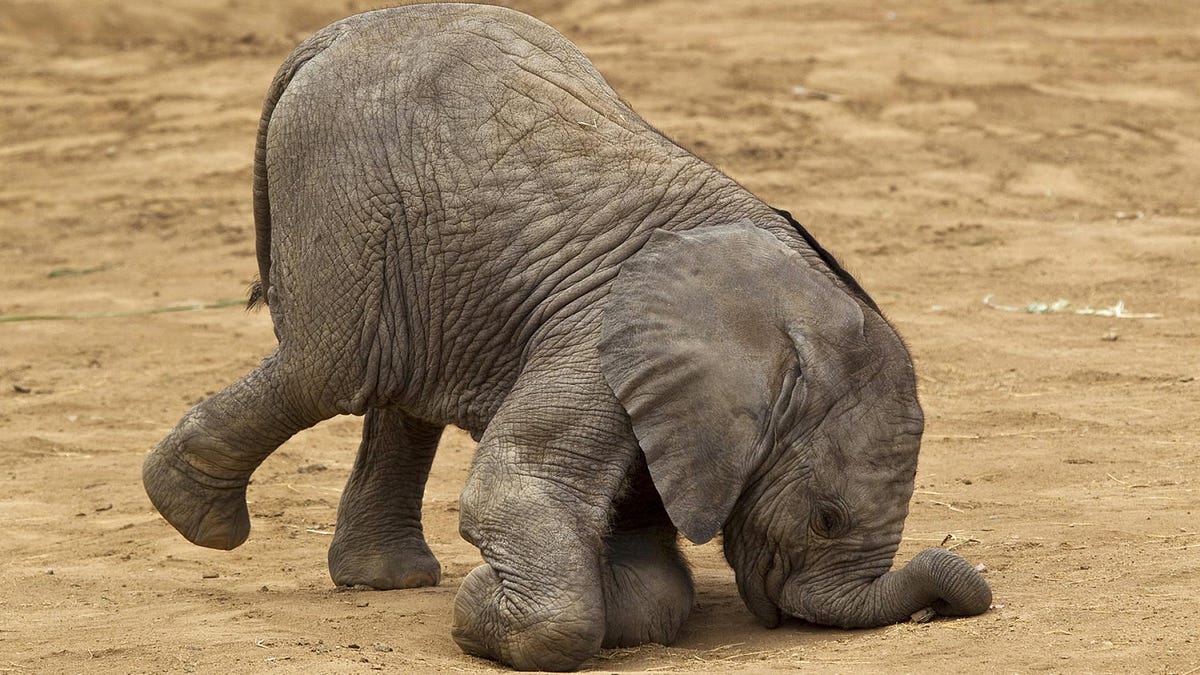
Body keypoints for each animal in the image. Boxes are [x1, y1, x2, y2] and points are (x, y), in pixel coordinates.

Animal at [142, 3, 992, 671]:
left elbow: (656, 577)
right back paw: (198, 515)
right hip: (343, 189)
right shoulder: (595, 344)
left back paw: (387, 580)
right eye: (826, 518)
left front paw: (534, 594)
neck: (783, 310)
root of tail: (331, 34)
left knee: (396, 391)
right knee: (330, 369)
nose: (937, 609)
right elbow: (513, 492)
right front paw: (487, 603)